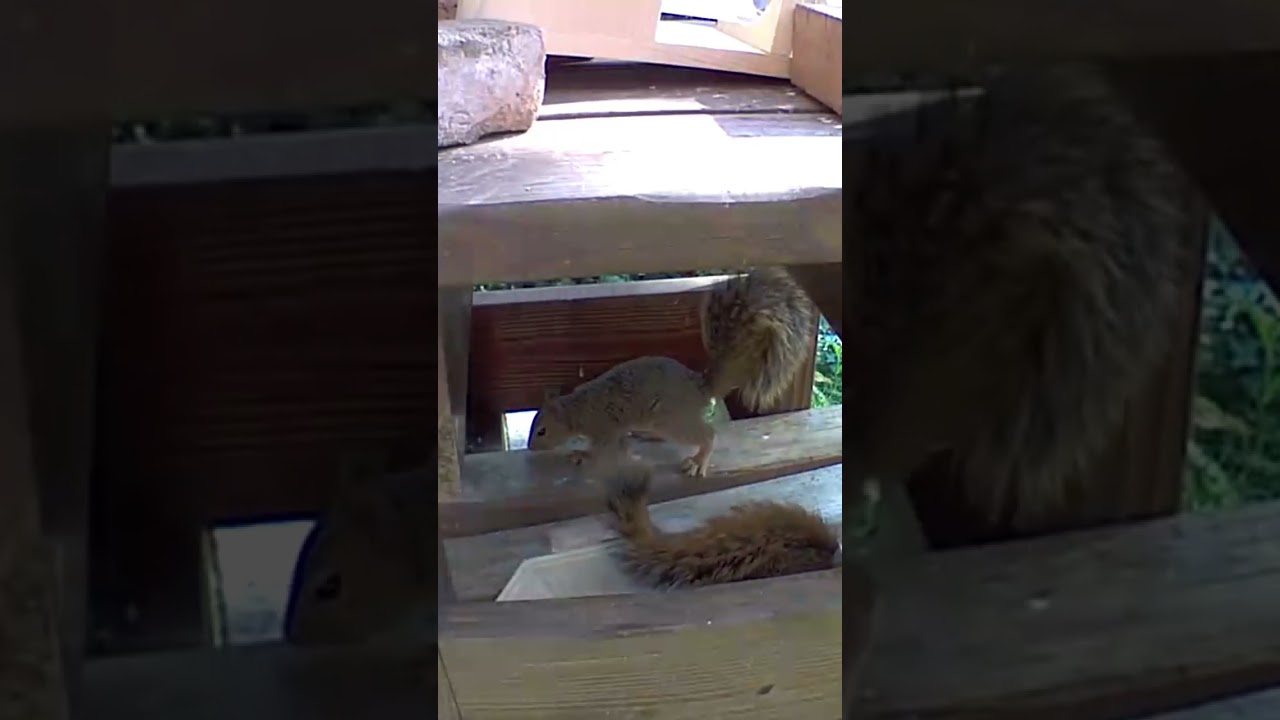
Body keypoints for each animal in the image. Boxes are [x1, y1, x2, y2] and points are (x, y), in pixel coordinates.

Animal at [527, 267, 817, 477]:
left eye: (541, 431)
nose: (530, 448)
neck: (577, 409)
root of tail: (699, 389)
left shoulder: (603, 429)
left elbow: (601, 451)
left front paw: (581, 456)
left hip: (672, 419)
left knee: (707, 434)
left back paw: (698, 460)